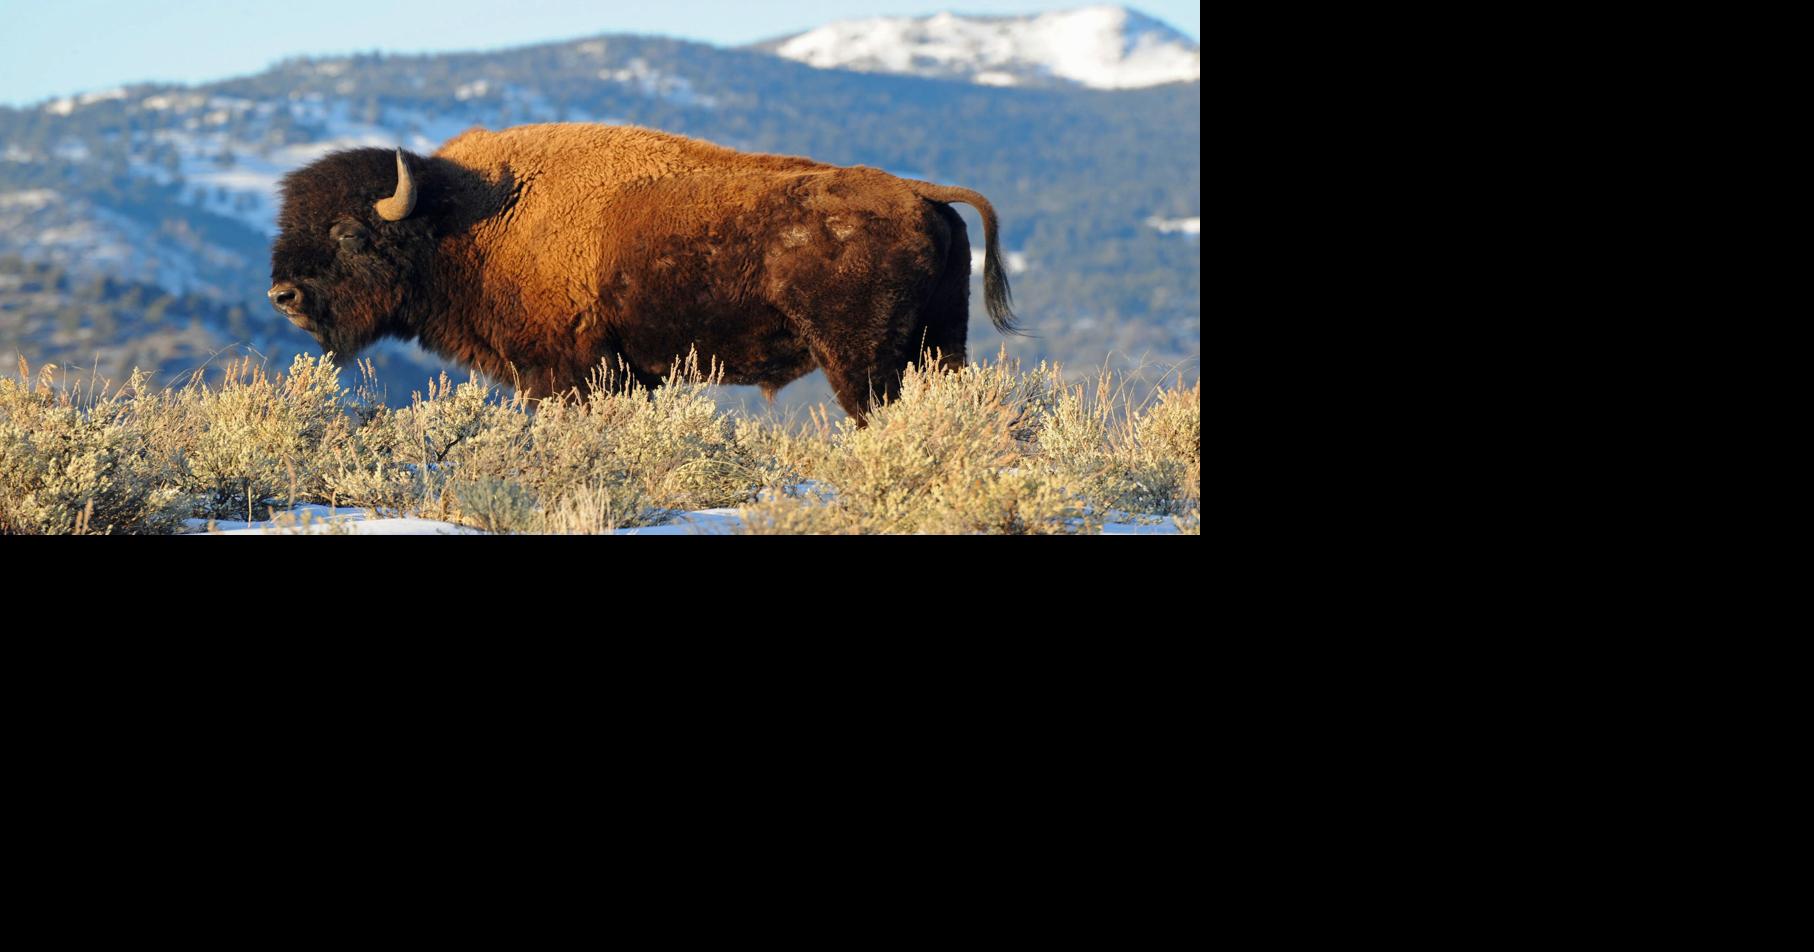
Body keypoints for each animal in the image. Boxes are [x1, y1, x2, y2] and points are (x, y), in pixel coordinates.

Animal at [268, 123, 1017, 420]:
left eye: (348, 232)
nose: (283, 295)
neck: (466, 220)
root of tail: (920, 192)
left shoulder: (569, 375)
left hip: (861, 361)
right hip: (940, 343)